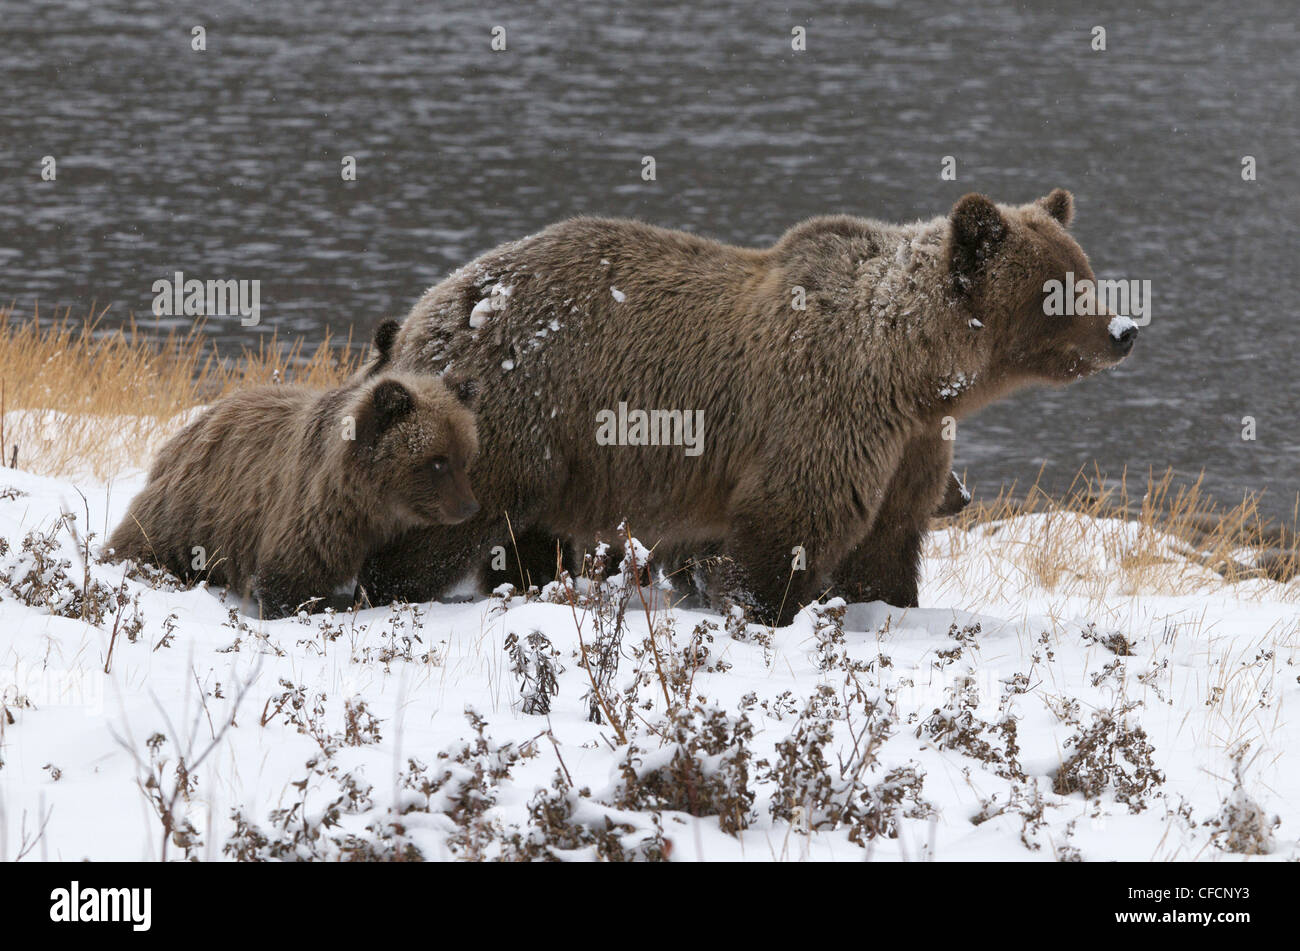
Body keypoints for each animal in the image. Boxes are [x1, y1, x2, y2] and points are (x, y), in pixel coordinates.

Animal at [106, 330, 480, 619]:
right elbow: (293, 578)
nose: (468, 507)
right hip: (190, 510)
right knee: (145, 542)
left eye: (464, 457)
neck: (369, 503)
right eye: (436, 461)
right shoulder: (313, 512)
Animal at [360, 190, 1135, 624]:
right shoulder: (824, 412)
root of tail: (429, 309)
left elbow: (888, 541)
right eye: (1060, 285)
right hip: (513, 415)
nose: (1125, 330)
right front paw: (766, 610)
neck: (911, 369)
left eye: (1084, 270)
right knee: (447, 523)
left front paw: (889, 604)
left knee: (522, 539)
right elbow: (789, 524)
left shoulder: (912, 444)